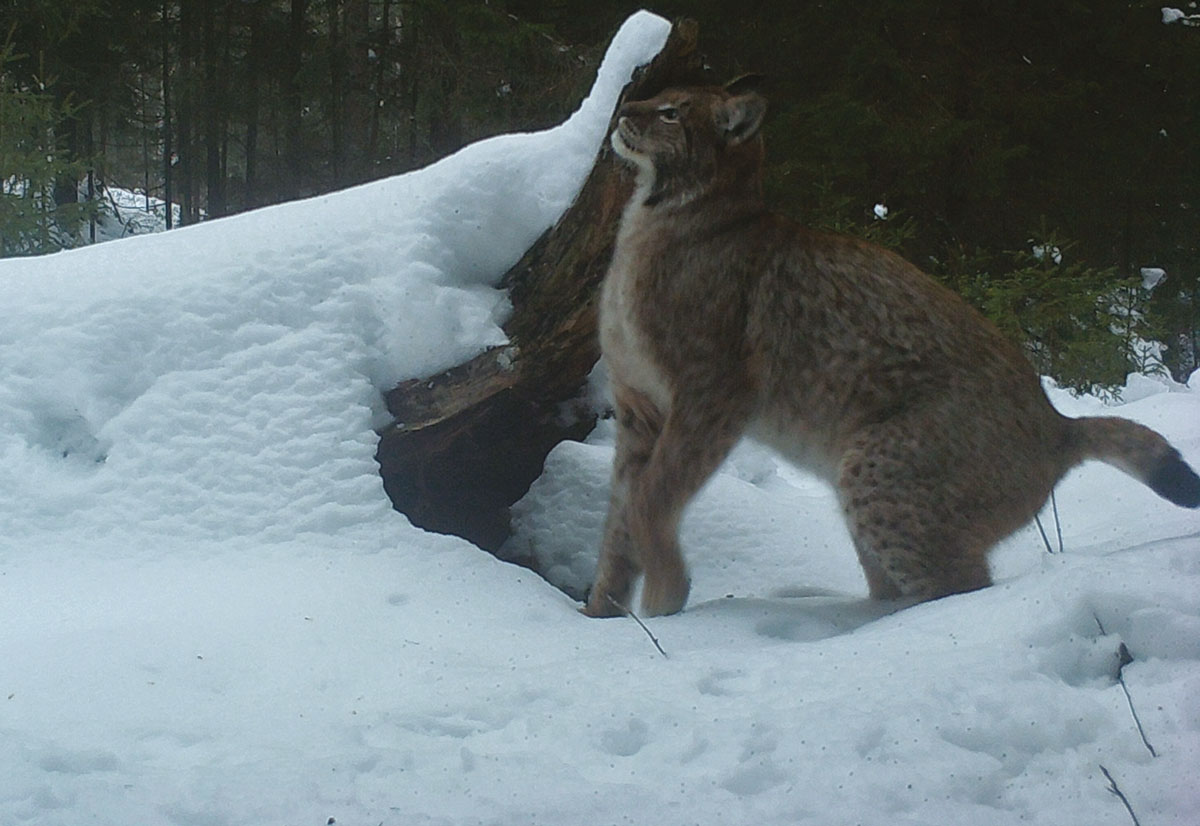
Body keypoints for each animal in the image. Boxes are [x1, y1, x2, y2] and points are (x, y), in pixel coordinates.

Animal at [582, 80, 1200, 618]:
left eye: (671, 113)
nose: (623, 110)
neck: (658, 212)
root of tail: (1057, 424)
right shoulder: (639, 405)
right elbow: (619, 519)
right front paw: (602, 618)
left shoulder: (715, 393)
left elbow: (651, 497)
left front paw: (666, 594)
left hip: (875, 466)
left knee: (961, 588)